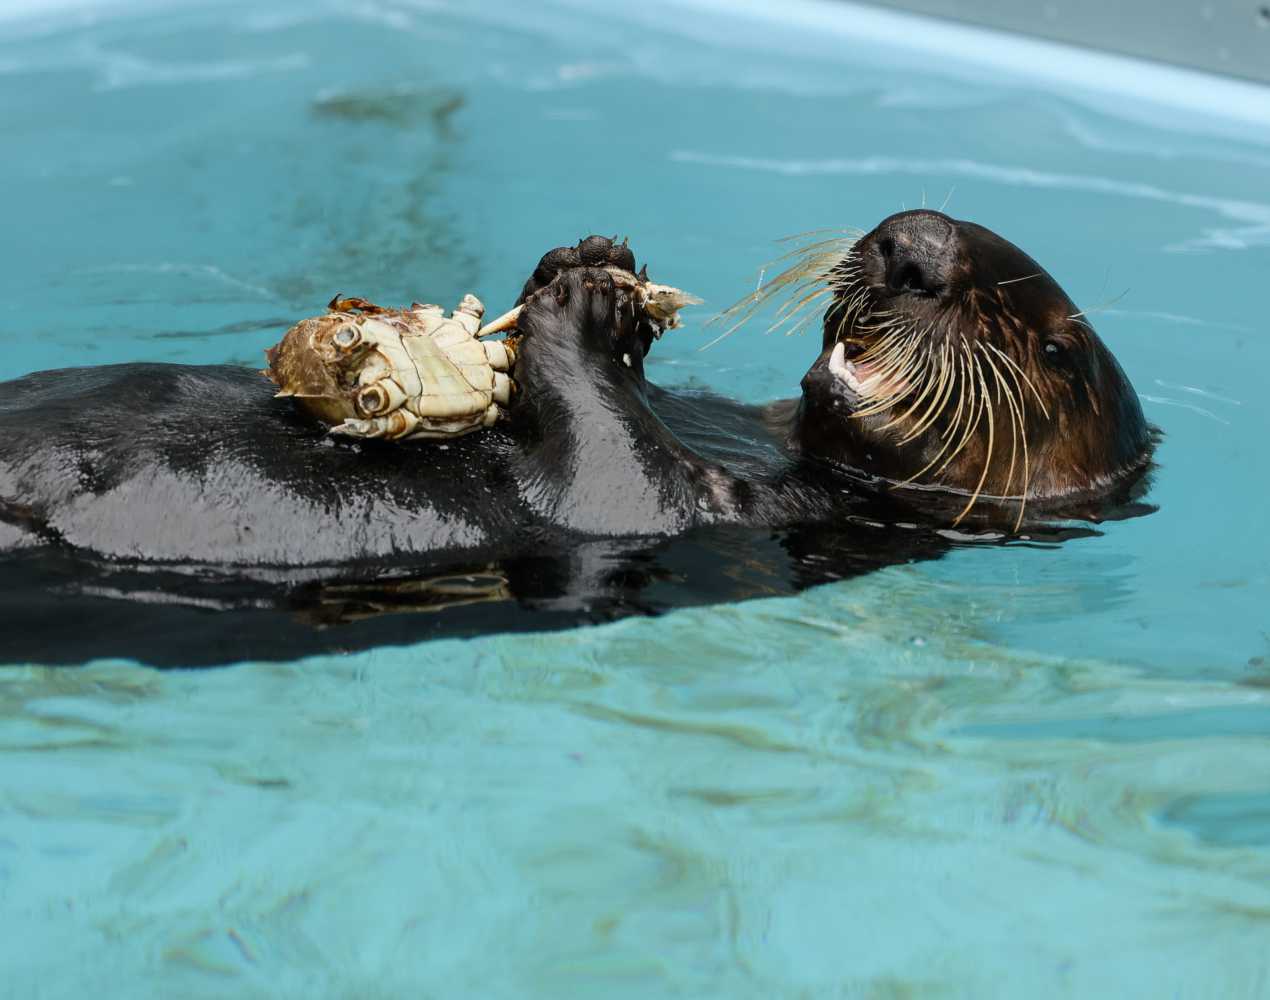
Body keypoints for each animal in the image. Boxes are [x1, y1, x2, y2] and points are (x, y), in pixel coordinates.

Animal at [0, 212, 1155, 665]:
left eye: (1057, 349)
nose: (913, 243)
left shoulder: (663, 517)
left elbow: (612, 469)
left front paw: (587, 306)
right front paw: (590, 259)